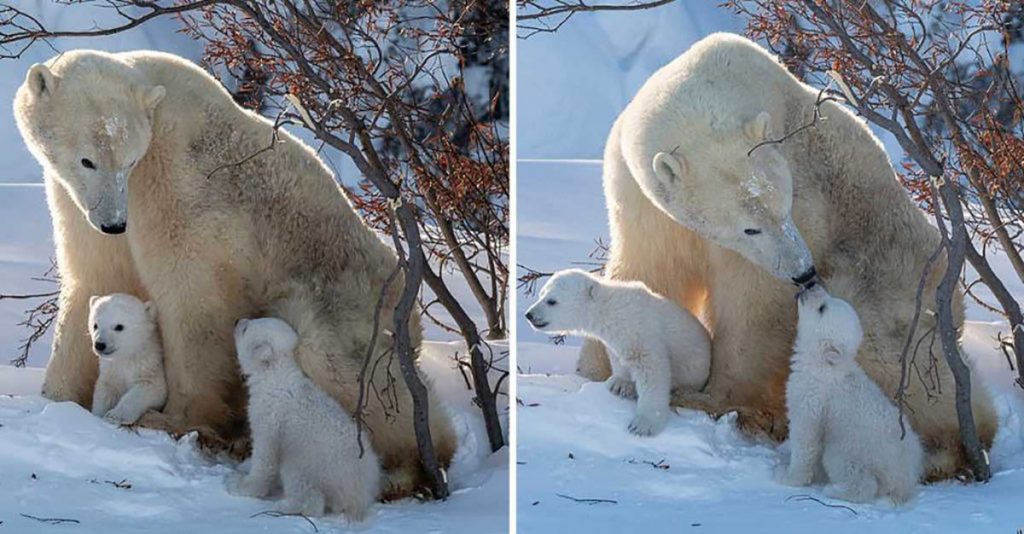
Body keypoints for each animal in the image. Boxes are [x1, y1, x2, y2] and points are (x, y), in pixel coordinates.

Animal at [88, 293, 167, 424]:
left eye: (119, 326)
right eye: (95, 325)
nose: (99, 345)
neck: (127, 356)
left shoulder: (148, 364)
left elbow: (151, 388)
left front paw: (115, 415)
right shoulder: (112, 370)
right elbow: (105, 392)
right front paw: (97, 415)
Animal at [227, 317, 380, 521]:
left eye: (246, 328)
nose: (237, 320)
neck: (275, 376)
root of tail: (357, 493)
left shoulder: (270, 417)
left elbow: (265, 456)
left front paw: (242, 486)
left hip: (309, 460)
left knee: (309, 493)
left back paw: (286, 506)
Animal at [524, 269, 711, 436]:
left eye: (552, 301)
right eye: (541, 295)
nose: (529, 315)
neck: (609, 308)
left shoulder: (640, 330)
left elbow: (652, 370)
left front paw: (643, 425)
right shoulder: (616, 338)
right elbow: (618, 358)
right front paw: (620, 384)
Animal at [575, 32, 996, 479]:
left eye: (786, 205)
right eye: (750, 227)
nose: (804, 272)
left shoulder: (805, 193)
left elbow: (755, 307)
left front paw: (710, 398)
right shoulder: (641, 196)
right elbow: (652, 269)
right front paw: (601, 370)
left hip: (898, 288)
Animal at [777, 284, 923, 504]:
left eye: (822, 308)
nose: (812, 285)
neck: (826, 365)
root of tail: (901, 479)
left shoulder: (811, 399)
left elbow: (806, 439)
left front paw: (788, 478)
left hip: (851, 448)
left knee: (862, 480)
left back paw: (834, 490)